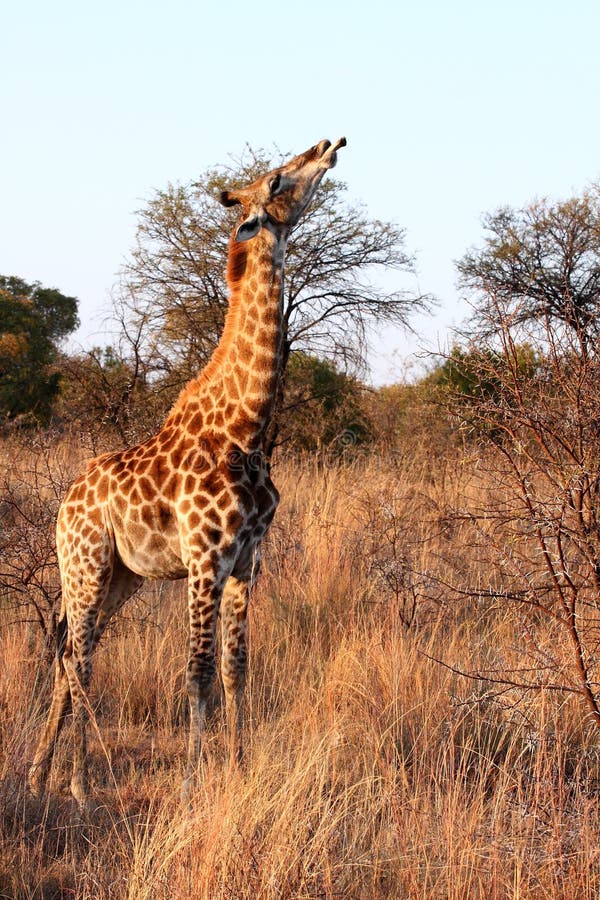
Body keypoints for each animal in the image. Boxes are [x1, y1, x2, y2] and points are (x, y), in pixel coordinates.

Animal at [28, 137, 347, 808]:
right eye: (277, 180)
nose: (330, 144)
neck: (246, 428)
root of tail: (65, 504)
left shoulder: (248, 560)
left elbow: (235, 668)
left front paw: (240, 767)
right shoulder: (204, 558)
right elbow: (196, 671)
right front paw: (194, 783)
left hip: (120, 578)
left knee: (72, 652)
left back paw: (41, 774)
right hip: (86, 566)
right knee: (79, 659)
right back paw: (78, 784)